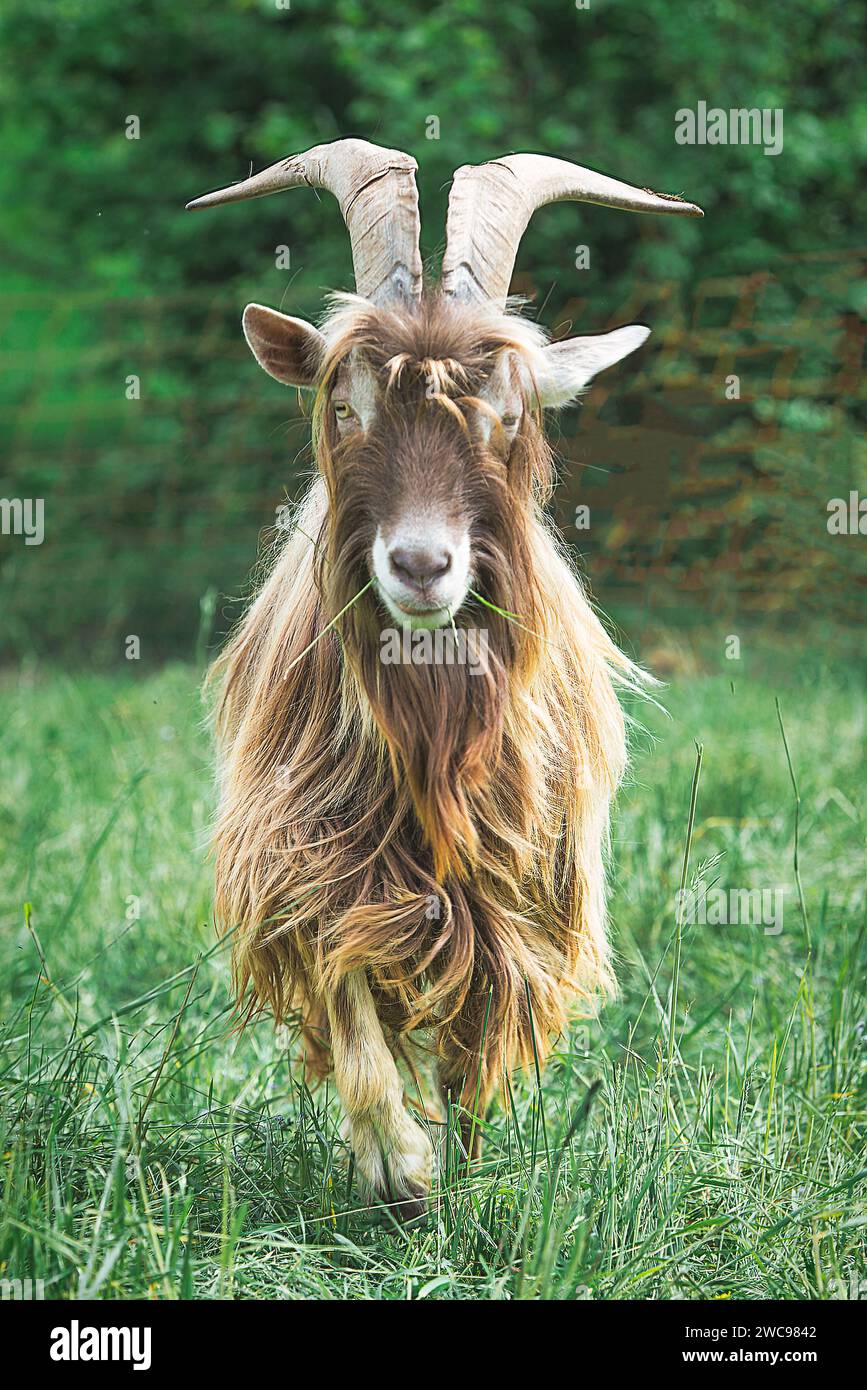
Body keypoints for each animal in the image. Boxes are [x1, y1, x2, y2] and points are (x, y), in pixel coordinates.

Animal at [187, 141, 702, 1218]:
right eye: (346, 406)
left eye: (507, 415)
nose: (420, 565)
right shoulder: (309, 855)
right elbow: (351, 1004)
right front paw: (397, 1167)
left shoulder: (514, 896)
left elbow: (474, 1047)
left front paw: (457, 1182)